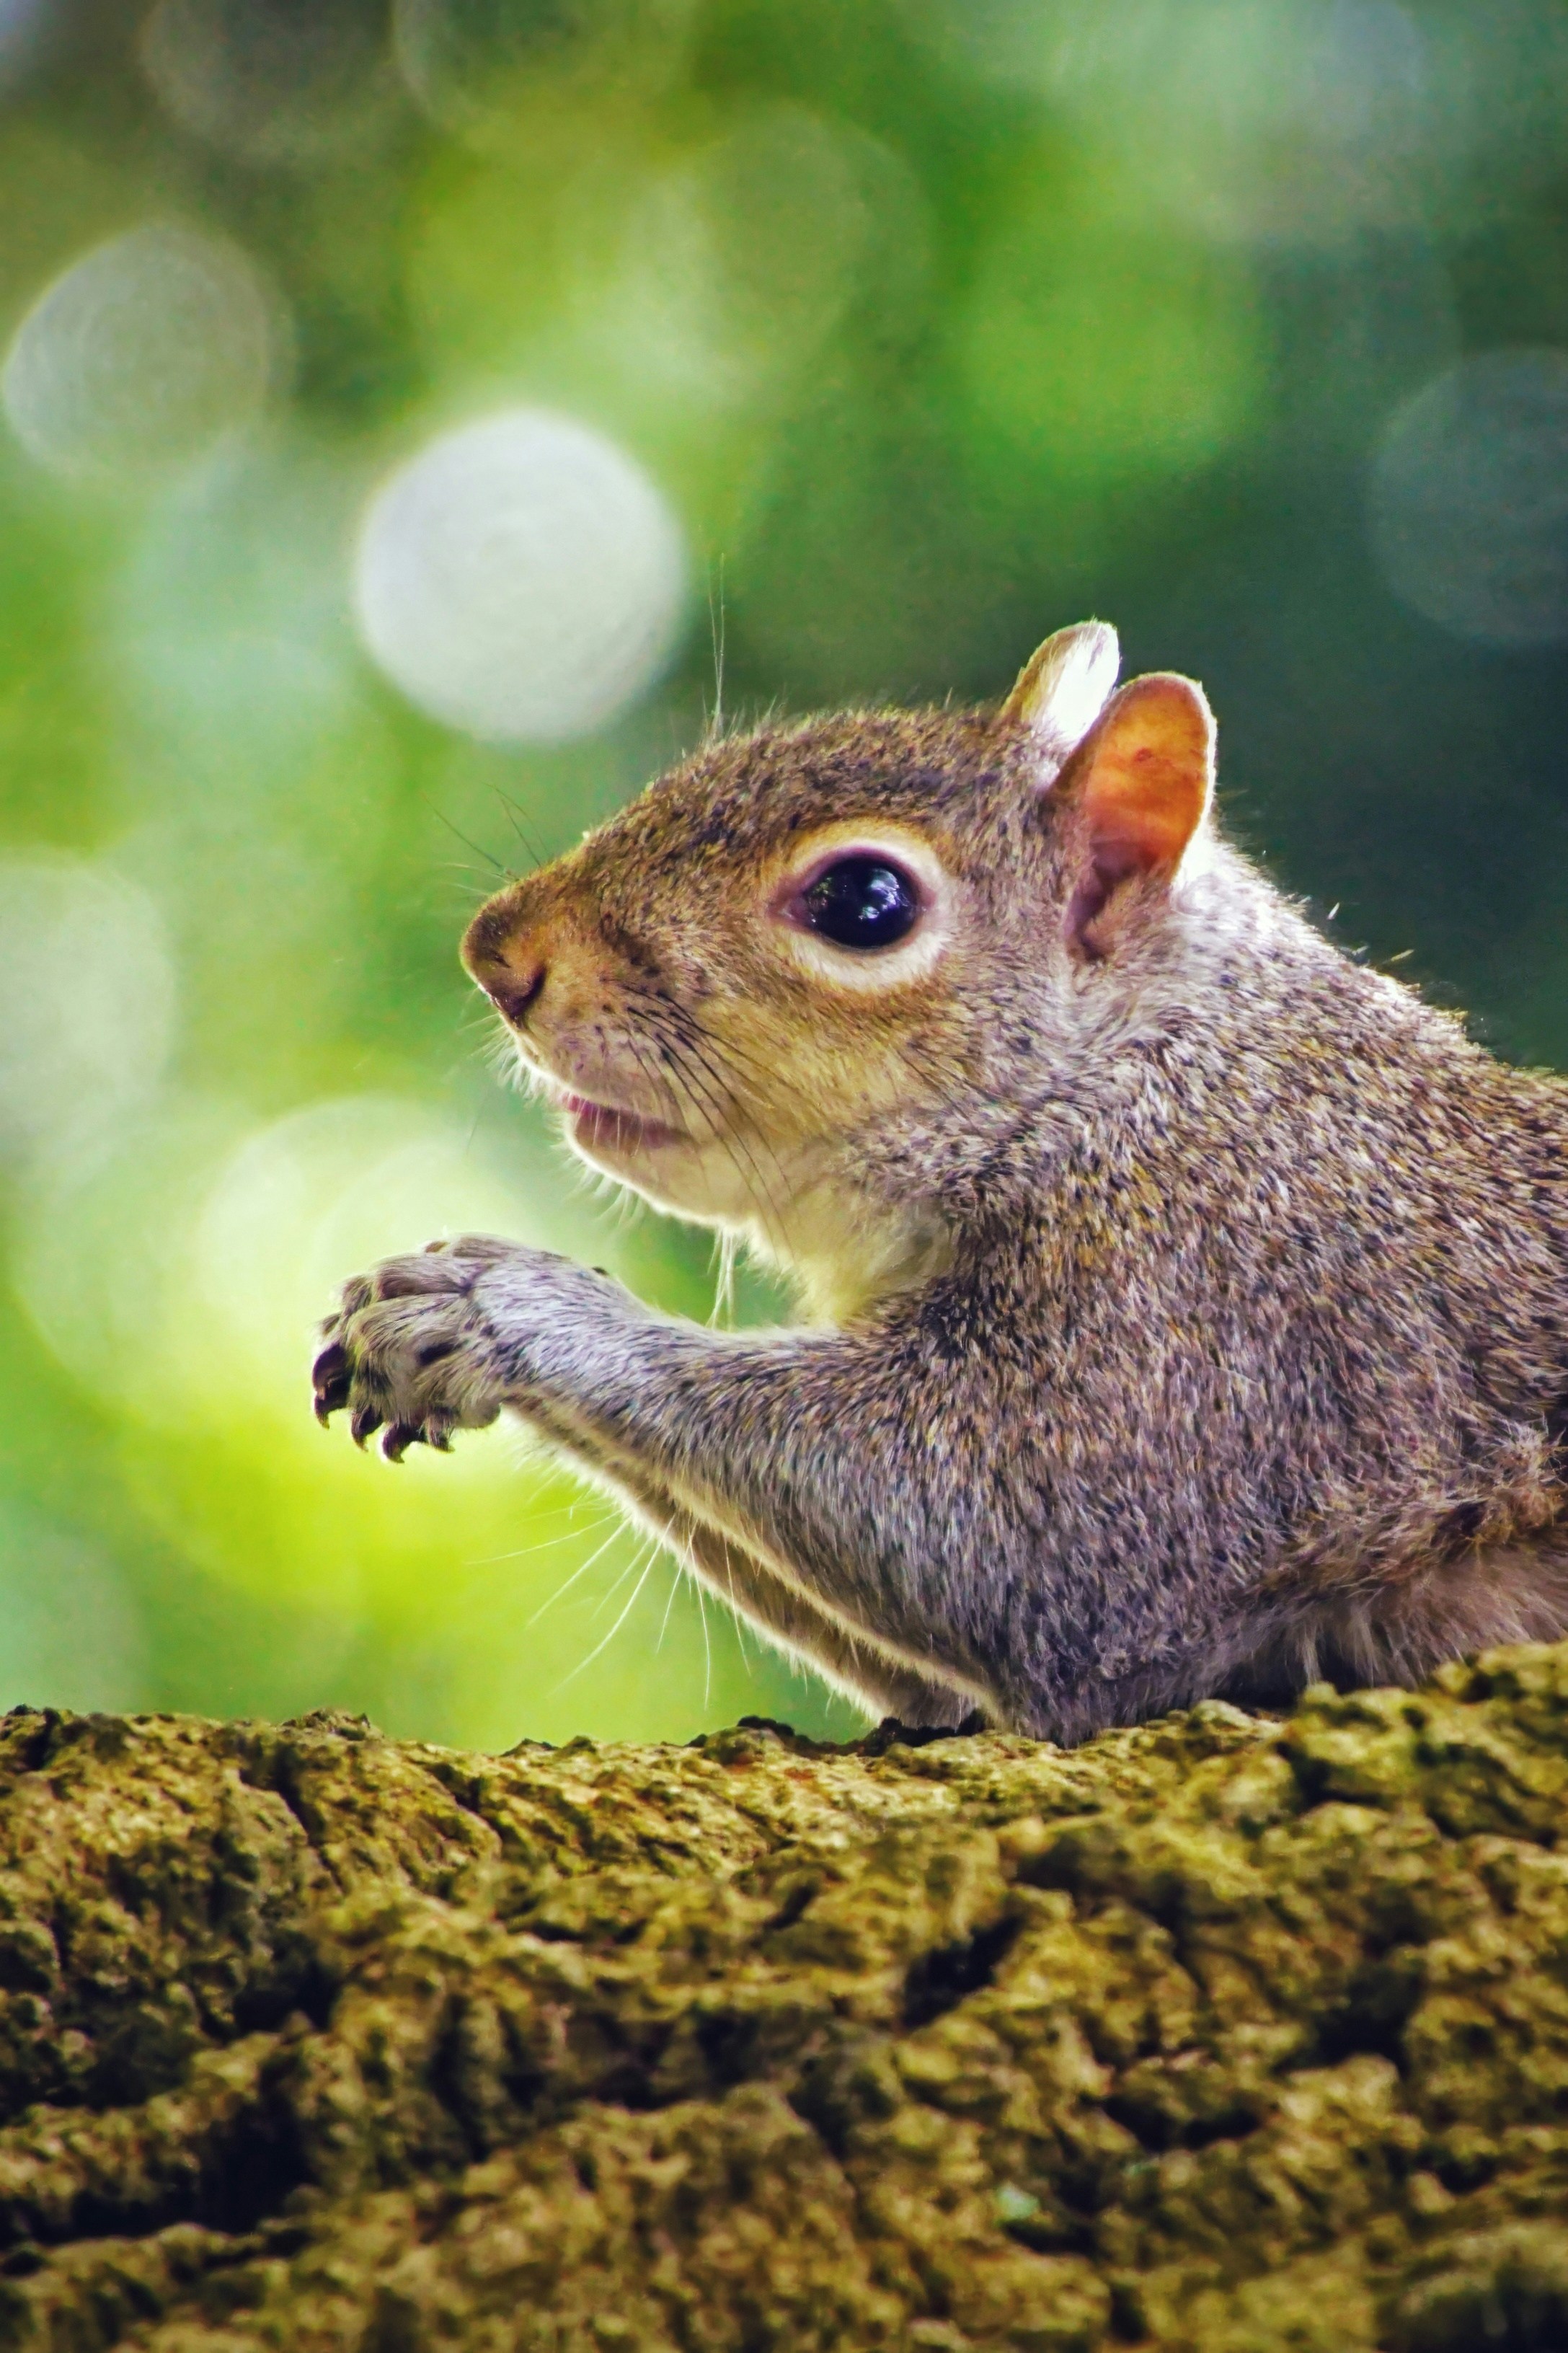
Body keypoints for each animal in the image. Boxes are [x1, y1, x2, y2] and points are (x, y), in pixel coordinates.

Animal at [312, 620, 1568, 1741]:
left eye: (862, 901)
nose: (497, 952)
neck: (1130, 1079)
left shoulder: (1204, 1314)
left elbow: (994, 1526)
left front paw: (506, 1304)